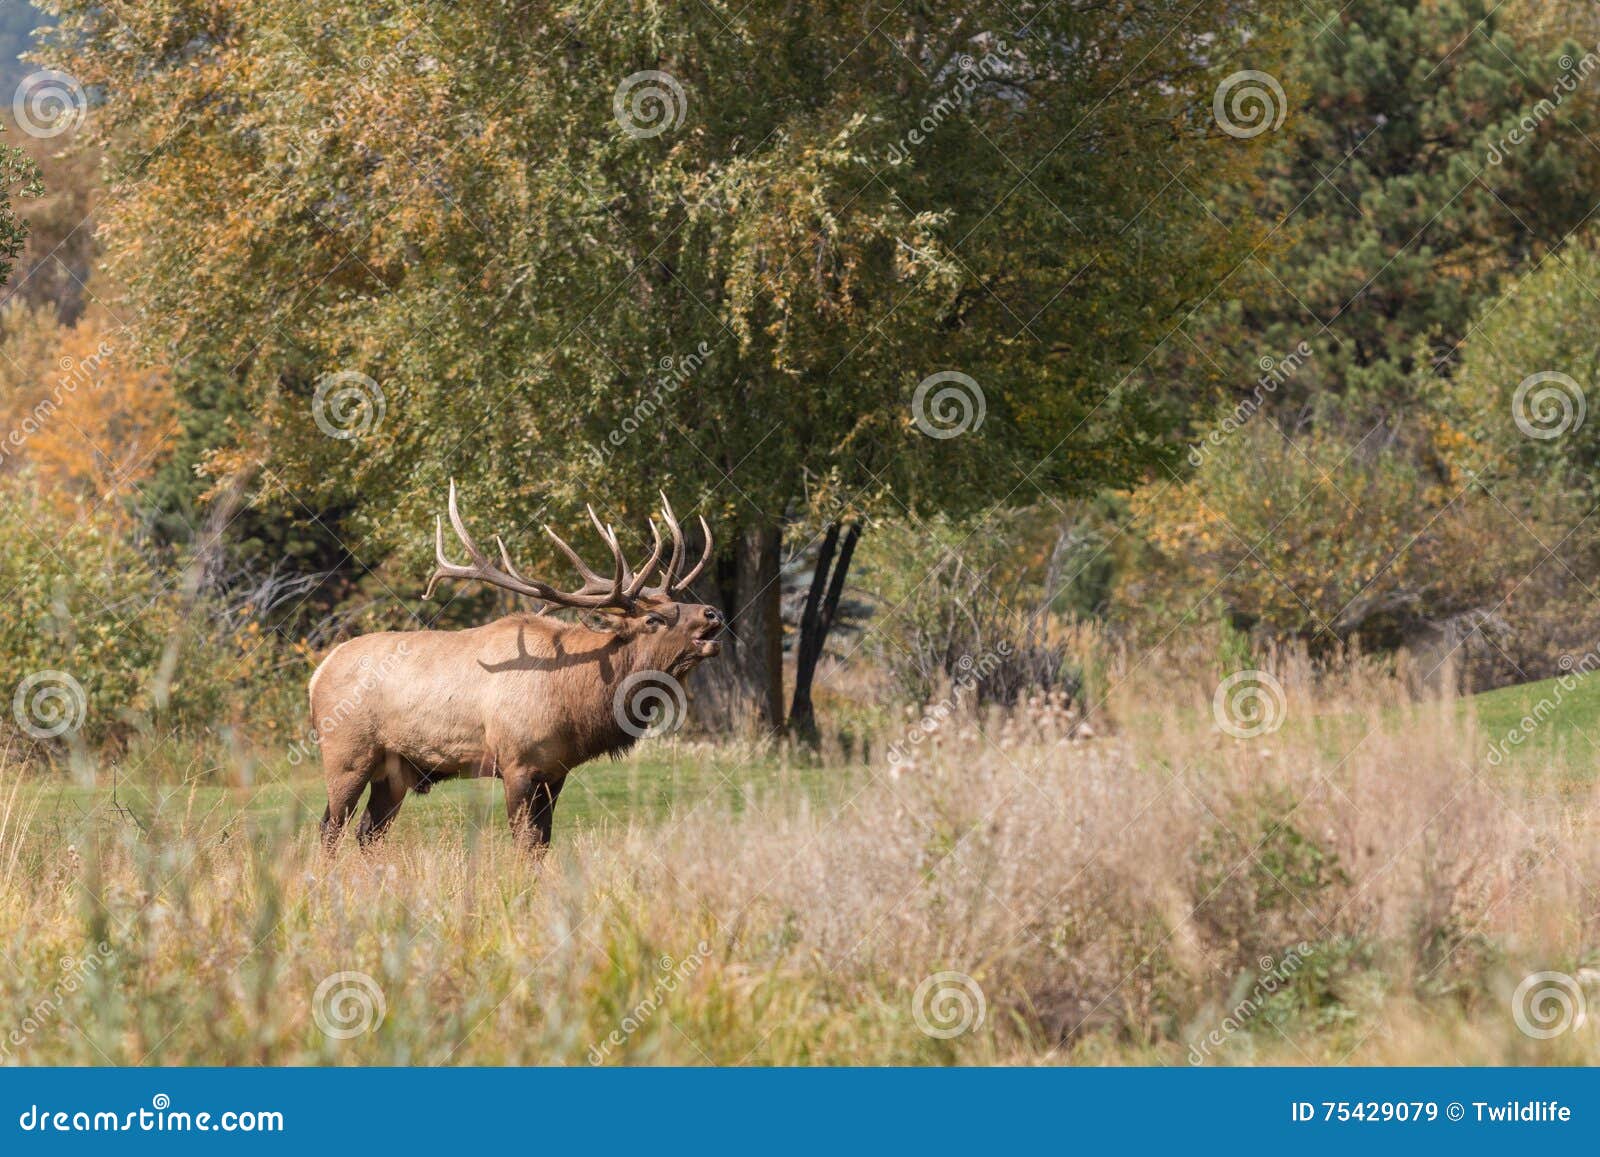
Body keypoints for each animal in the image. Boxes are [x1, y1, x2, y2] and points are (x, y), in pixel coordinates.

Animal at [309, 482, 723, 854]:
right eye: (653, 619)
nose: (712, 612)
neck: (575, 702)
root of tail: (316, 674)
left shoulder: (555, 771)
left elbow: (542, 845)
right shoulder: (516, 762)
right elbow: (525, 843)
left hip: (395, 768)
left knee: (369, 833)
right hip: (346, 753)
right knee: (331, 827)